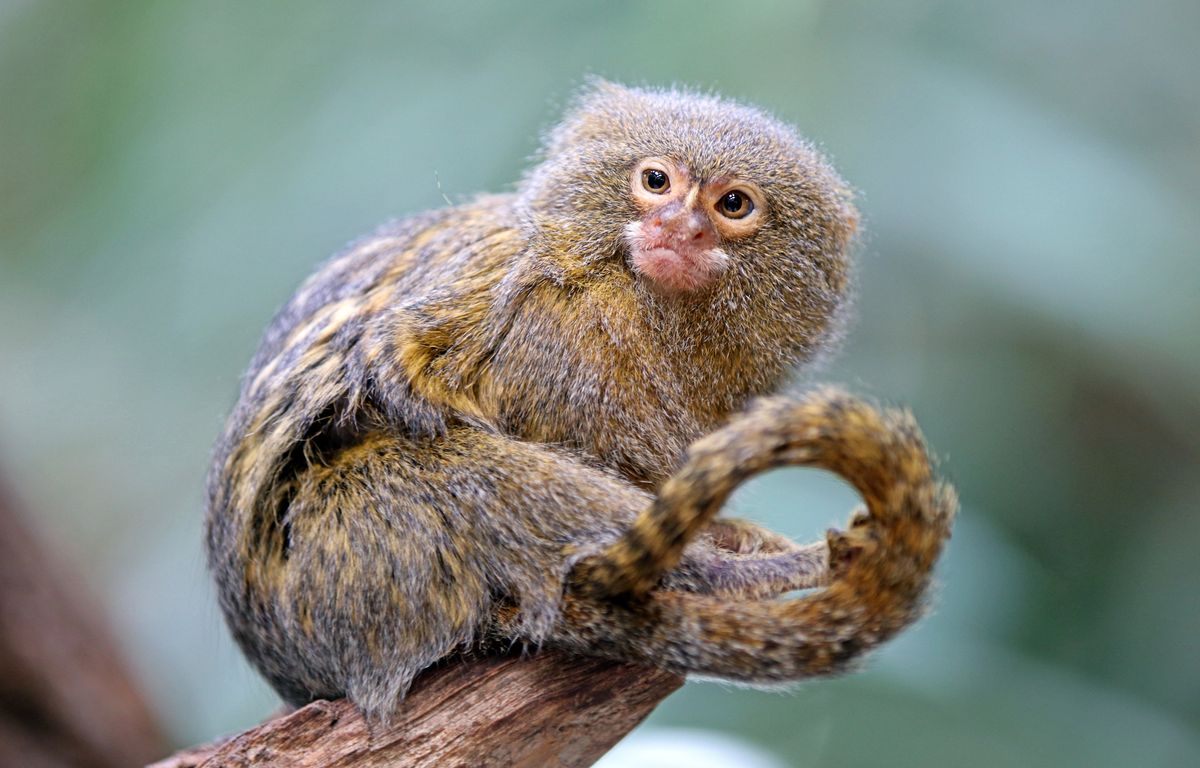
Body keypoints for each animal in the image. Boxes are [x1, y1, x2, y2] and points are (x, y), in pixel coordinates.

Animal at [205, 79, 956, 721]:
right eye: (656, 181)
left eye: (733, 205)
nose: (679, 228)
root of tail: (300, 674)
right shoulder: (556, 334)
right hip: (344, 563)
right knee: (462, 477)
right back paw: (755, 571)